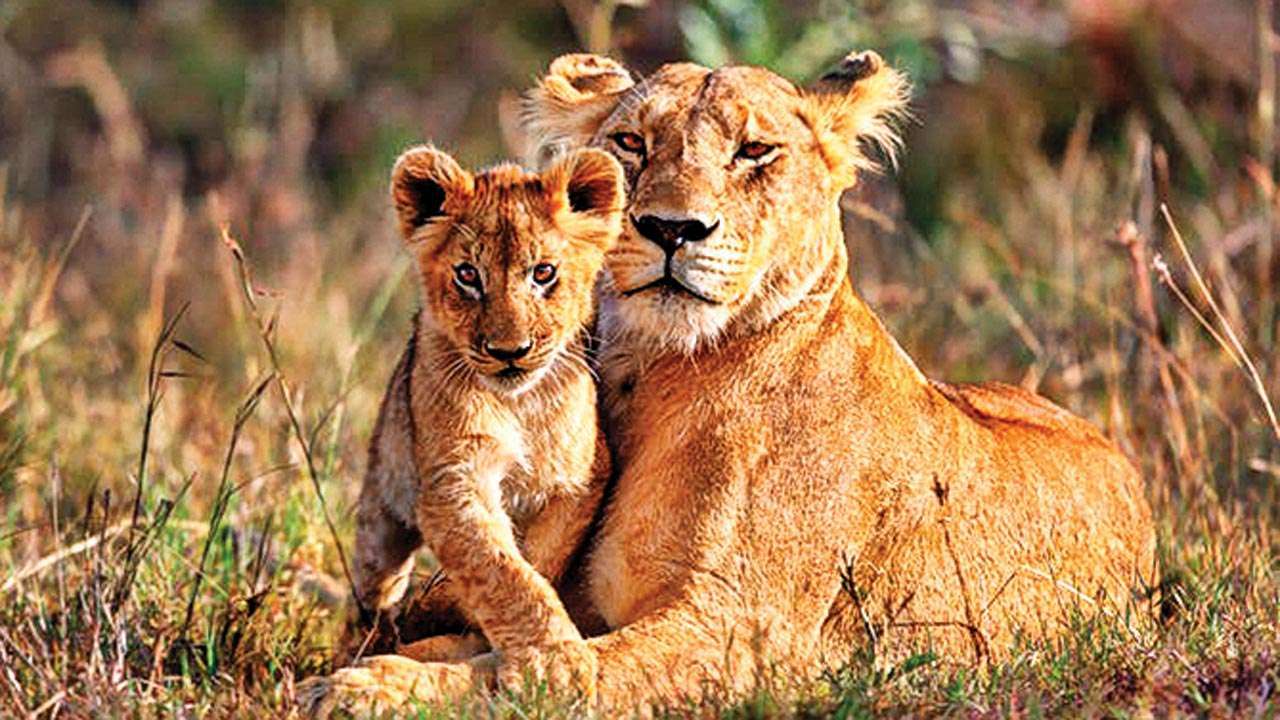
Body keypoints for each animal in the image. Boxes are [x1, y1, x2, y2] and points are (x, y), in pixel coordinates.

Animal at [339, 145, 622, 674]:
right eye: (468, 275)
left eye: (543, 273)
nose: (510, 351)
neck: (520, 403)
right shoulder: (453, 482)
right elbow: (501, 569)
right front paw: (554, 662)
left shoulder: (582, 478)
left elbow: (538, 558)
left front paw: (453, 610)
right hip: (380, 510)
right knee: (373, 589)